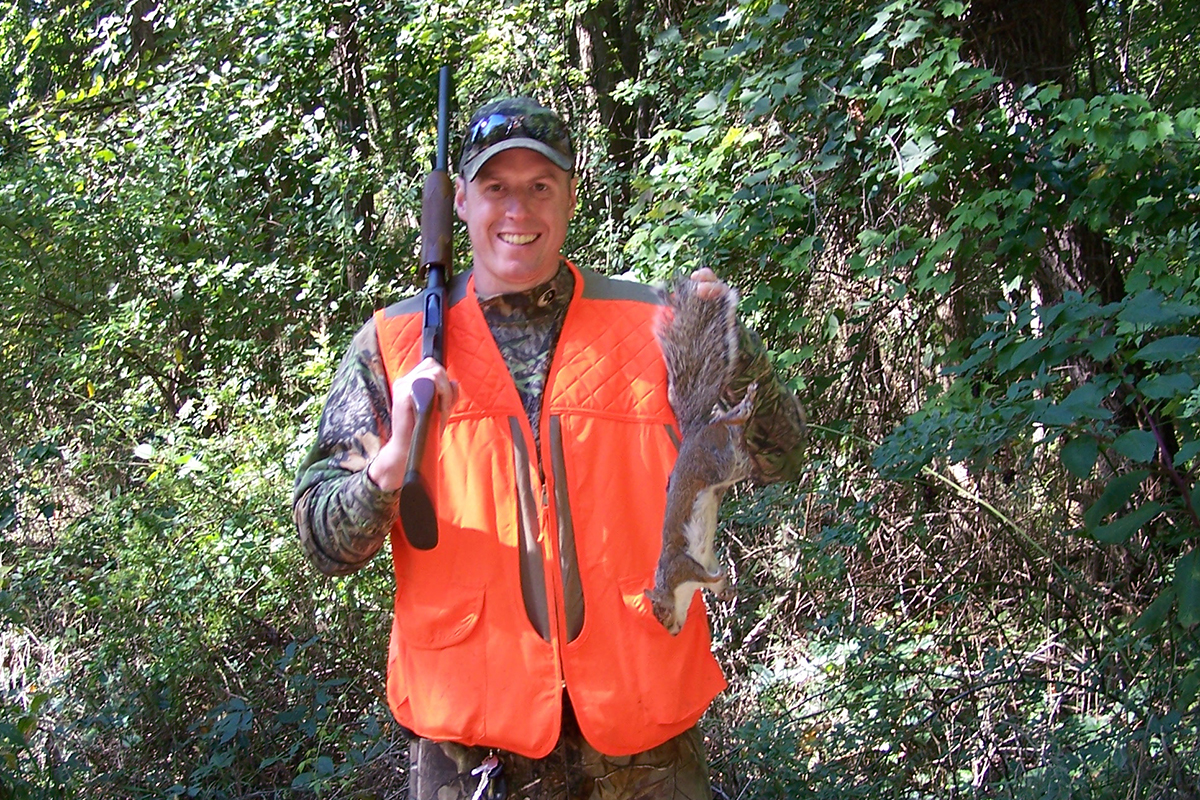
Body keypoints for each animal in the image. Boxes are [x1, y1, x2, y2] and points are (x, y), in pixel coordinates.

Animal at [645, 276, 757, 635]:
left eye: (660, 611)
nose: (672, 632)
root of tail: (692, 434)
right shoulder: (701, 559)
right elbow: (713, 576)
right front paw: (725, 586)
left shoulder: (682, 565)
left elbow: (701, 573)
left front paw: (717, 578)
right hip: (722, 463)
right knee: (732, 439)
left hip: (709, 462)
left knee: (728, 429)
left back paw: (742, 408)